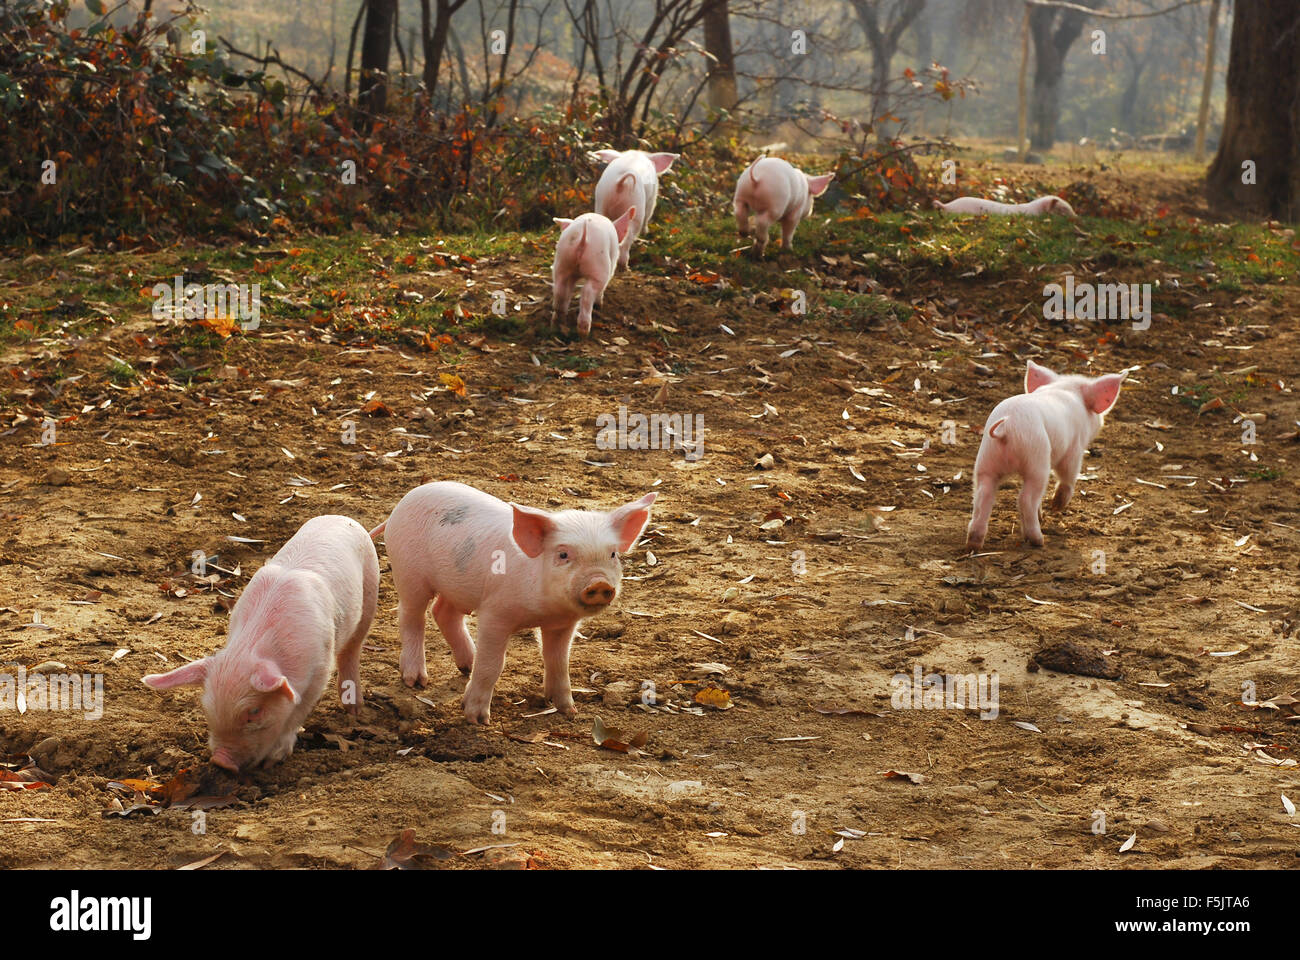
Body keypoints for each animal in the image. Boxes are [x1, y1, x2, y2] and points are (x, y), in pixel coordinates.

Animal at [142, 515, 379, 772]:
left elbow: (298, 711)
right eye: (207, 707)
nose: (221, 761)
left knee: (352, 648)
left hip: (371, 589)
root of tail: (343, 518)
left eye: (254, 711)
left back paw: (355, 710)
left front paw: (274, 761)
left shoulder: (320, 669)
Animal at [370, 481, 656, 725]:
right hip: (409, 573)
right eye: (563, 554)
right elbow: (492, 664)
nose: (600, 583)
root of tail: (399, 506)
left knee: (443, 613)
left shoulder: (562, 624)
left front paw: (569, 711)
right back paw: (417, 681)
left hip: (457, 586)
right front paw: (477, 719)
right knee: (411, 616)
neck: (545, 611)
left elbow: (559, 661)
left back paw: (467, 665)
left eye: (613, 554)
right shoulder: (494, 612)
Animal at [551, 208, 636, 336]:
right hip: (599, 266)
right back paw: (584, 331)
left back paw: (557, 324)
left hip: (562, 260)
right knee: (588, 292)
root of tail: (584, 233)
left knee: (560, 290)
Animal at [966, 360, 1125, 550]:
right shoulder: (1075, 447)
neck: (1065, 388)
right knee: (1026, 499)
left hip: (986, 459)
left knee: (983, 495)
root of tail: (1007, 425)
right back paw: (1038, 540)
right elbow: (1068, 475)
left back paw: (973, 544)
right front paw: (1056, 507)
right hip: (1037, 459)